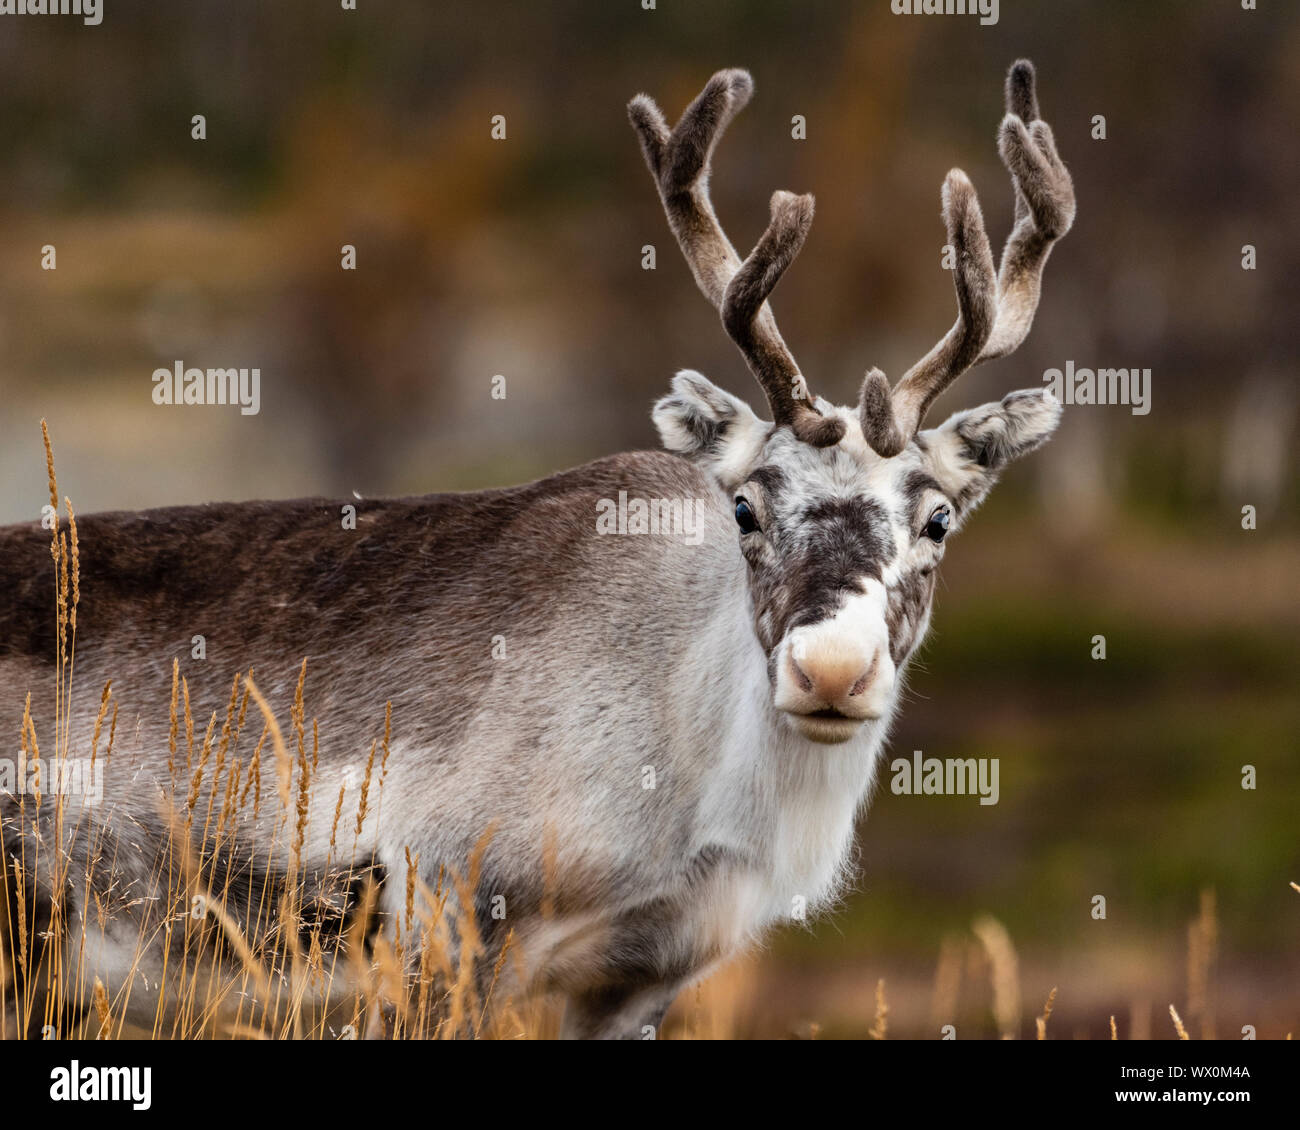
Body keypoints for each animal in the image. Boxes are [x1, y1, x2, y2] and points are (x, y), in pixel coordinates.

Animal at [0, 60, 1073, 1039]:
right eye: (745, 508)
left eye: (939, 518)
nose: (833, 669)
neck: (692, 764)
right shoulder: (451, 933)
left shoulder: (633, 981)